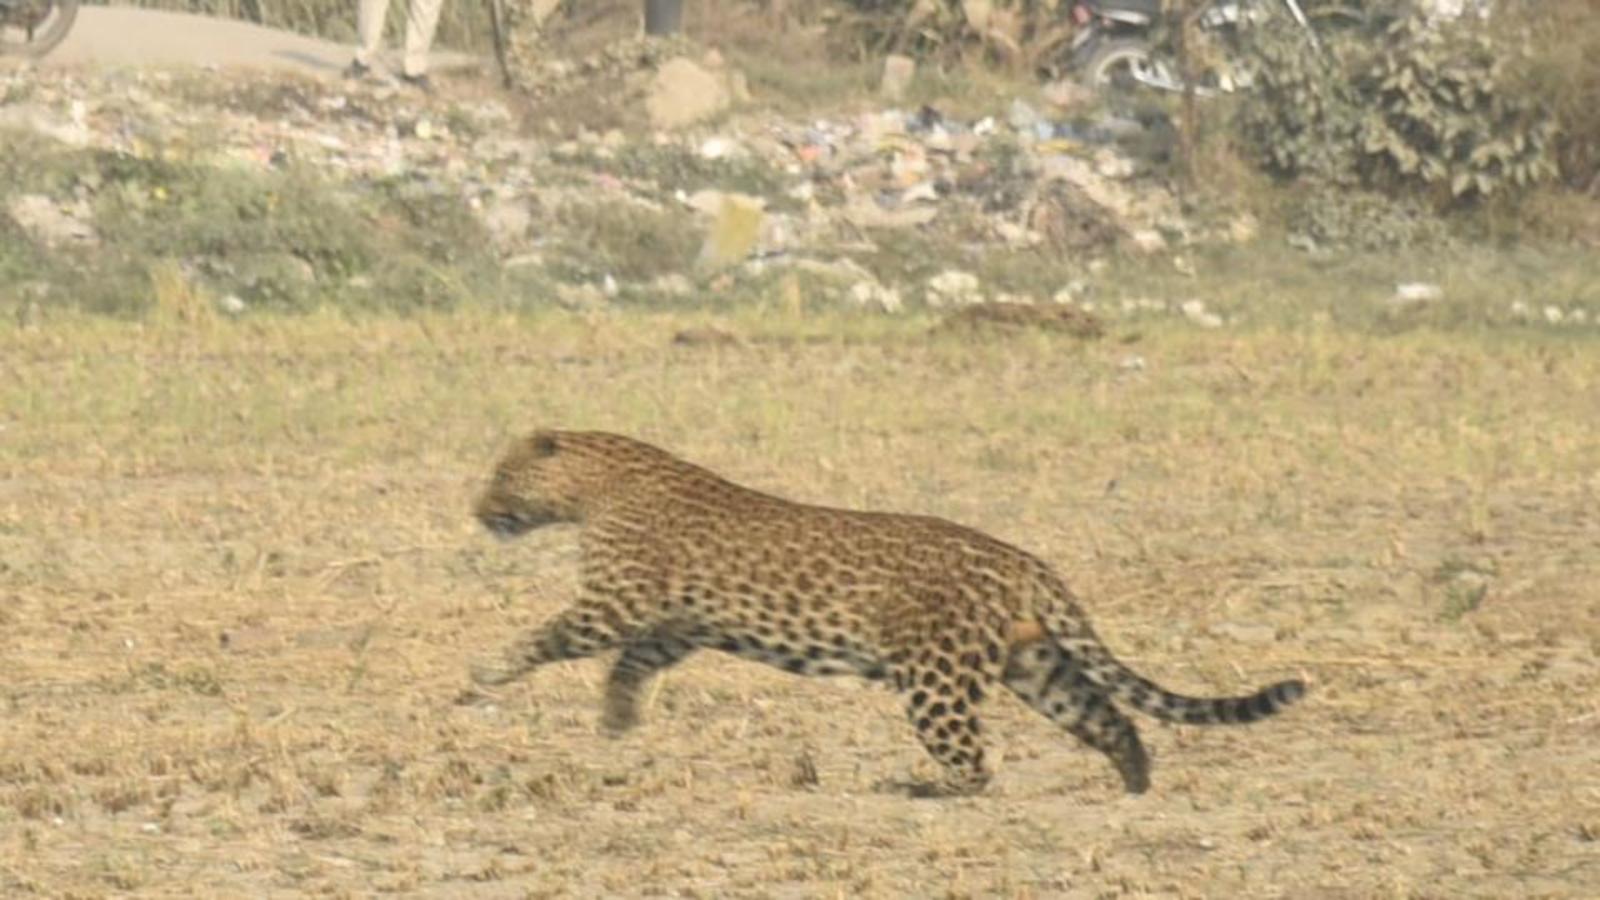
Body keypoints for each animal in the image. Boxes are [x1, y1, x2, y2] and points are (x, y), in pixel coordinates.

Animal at [470, 429, 1306, 795]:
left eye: (500, 475)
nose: (477, 512)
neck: (595, 483)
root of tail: (1022, 560)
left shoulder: (612, 603)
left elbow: (548, 636)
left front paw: (484, 672)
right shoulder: (673, 624)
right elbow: (630, 665)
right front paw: (616, 721)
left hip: (934, 675)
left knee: (974, 764)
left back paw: (917, 788)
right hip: (1032, 663)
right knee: (1108, 715)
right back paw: (1134, 782)